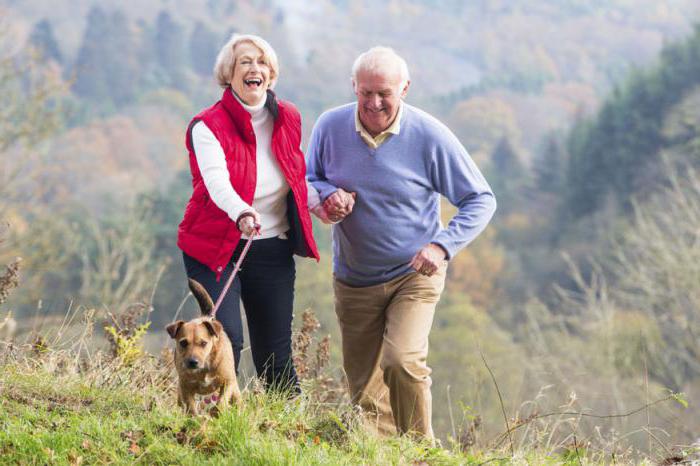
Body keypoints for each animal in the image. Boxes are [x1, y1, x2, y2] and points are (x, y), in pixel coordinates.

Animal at [166, 280, 241, 416]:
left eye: (203, 343)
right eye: (183, 343)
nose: (193, 362)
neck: (204, 367)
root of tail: (205, 317)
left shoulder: (227, 382)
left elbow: (221, 403)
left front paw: (215, 412)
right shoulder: (186, 387)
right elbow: (191, 408)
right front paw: (196, 418)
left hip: (235, 389)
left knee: (237, 399)